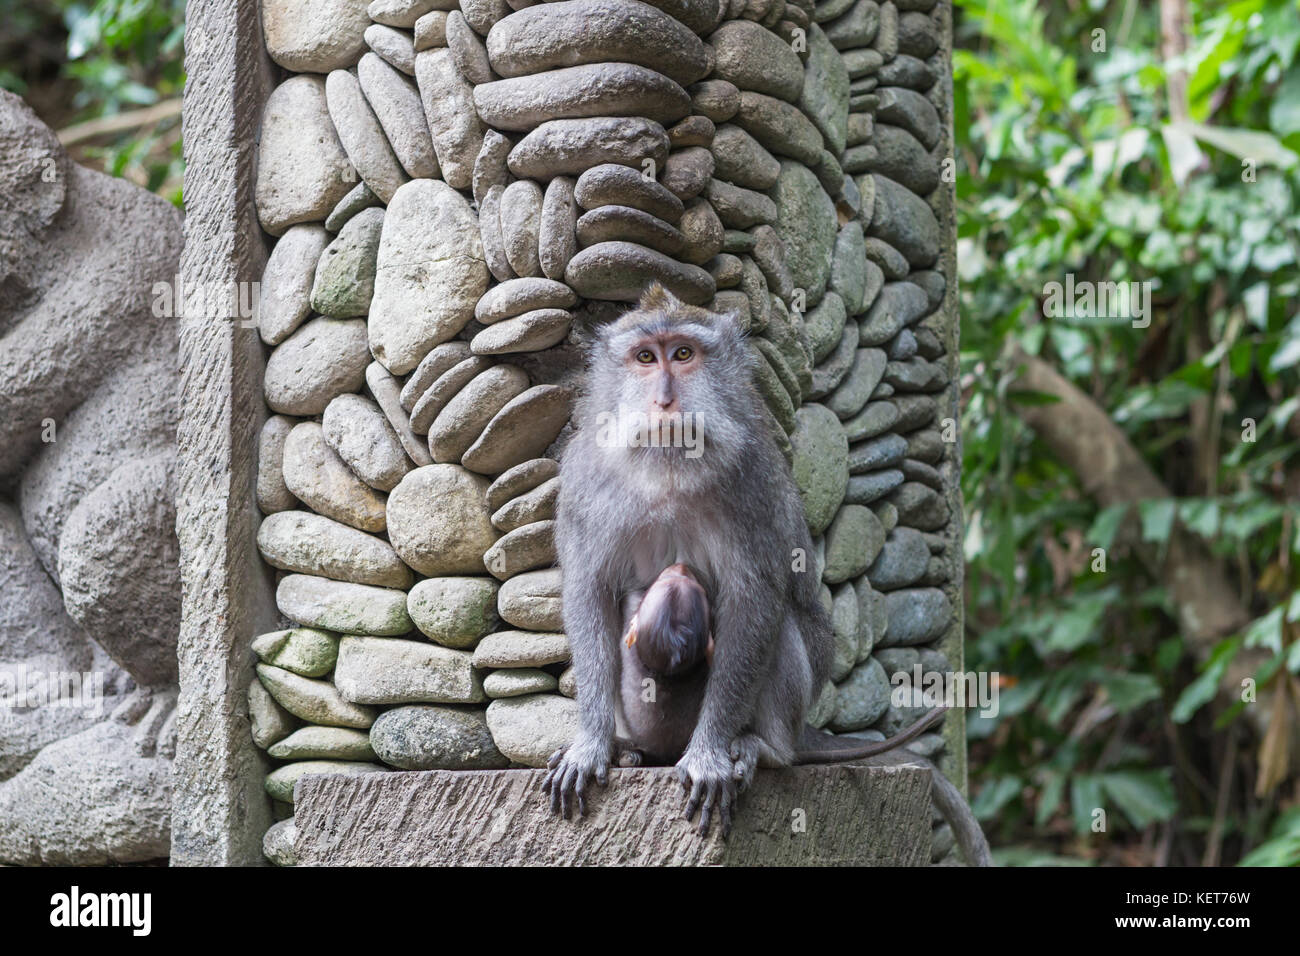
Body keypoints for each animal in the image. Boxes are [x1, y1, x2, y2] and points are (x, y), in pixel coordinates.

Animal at [541, 282, 989, 865]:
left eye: (683, 354)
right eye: (645, 358)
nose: (664, 401)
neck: (667, 466)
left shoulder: (749, 480)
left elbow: (753, 600)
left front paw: (708, 754)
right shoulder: (582, 481)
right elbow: (590, 594)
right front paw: (592, 743)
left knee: (782, 631)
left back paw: (766, 749)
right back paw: (630, 747)